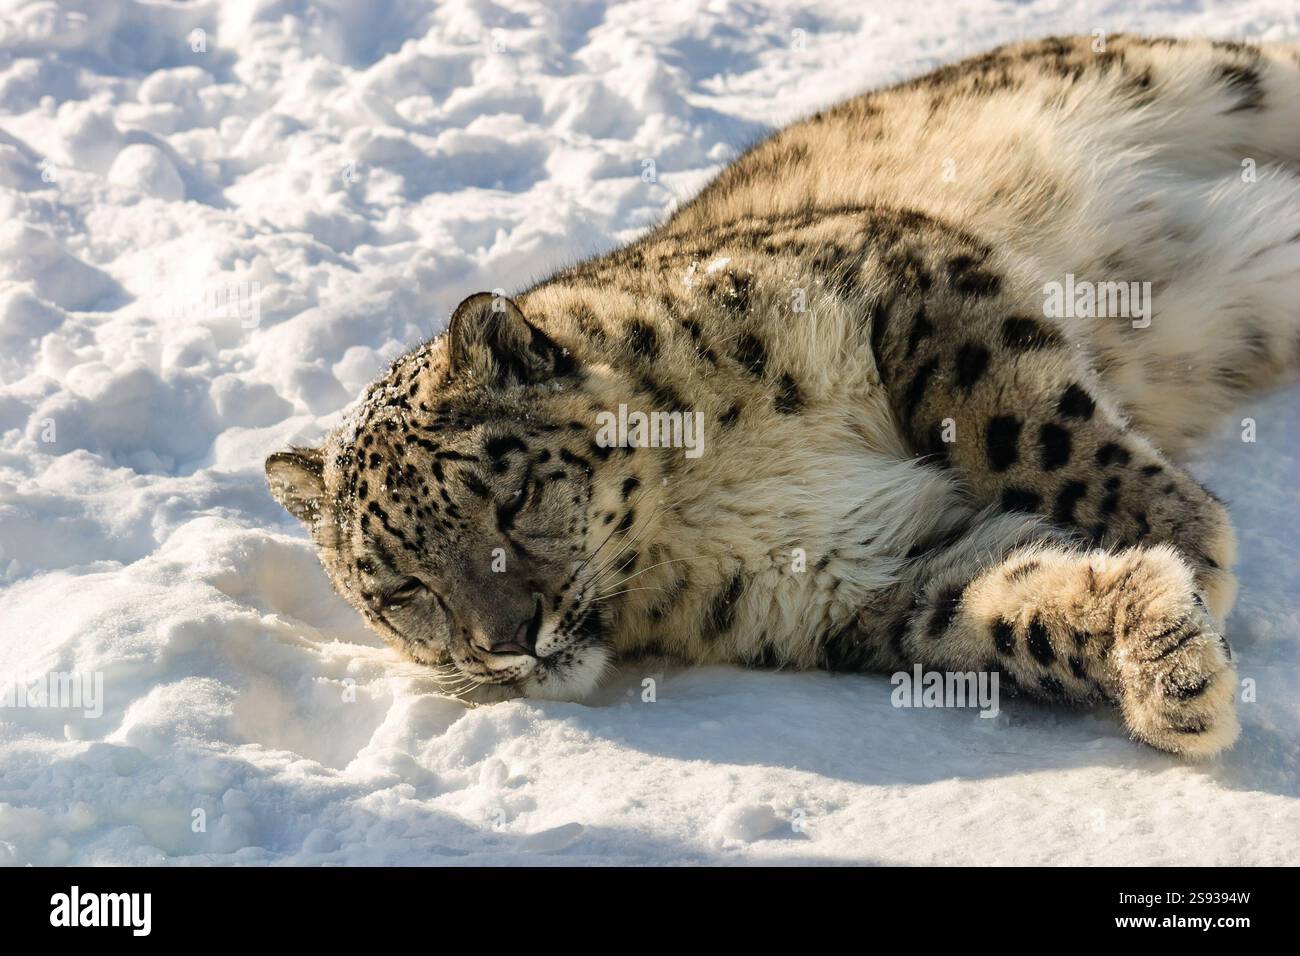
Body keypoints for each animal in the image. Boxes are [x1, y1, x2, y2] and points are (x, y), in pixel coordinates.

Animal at [267, 35, 1300, 758]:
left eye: (512, 500)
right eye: (402, 588)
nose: (510, 640)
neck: (695, 510)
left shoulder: (895, 270)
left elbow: (1018, 424)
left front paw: (1190, 541)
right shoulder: (872, 575)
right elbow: (1011, 605)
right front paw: (1167, 663)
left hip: (1217, 76)